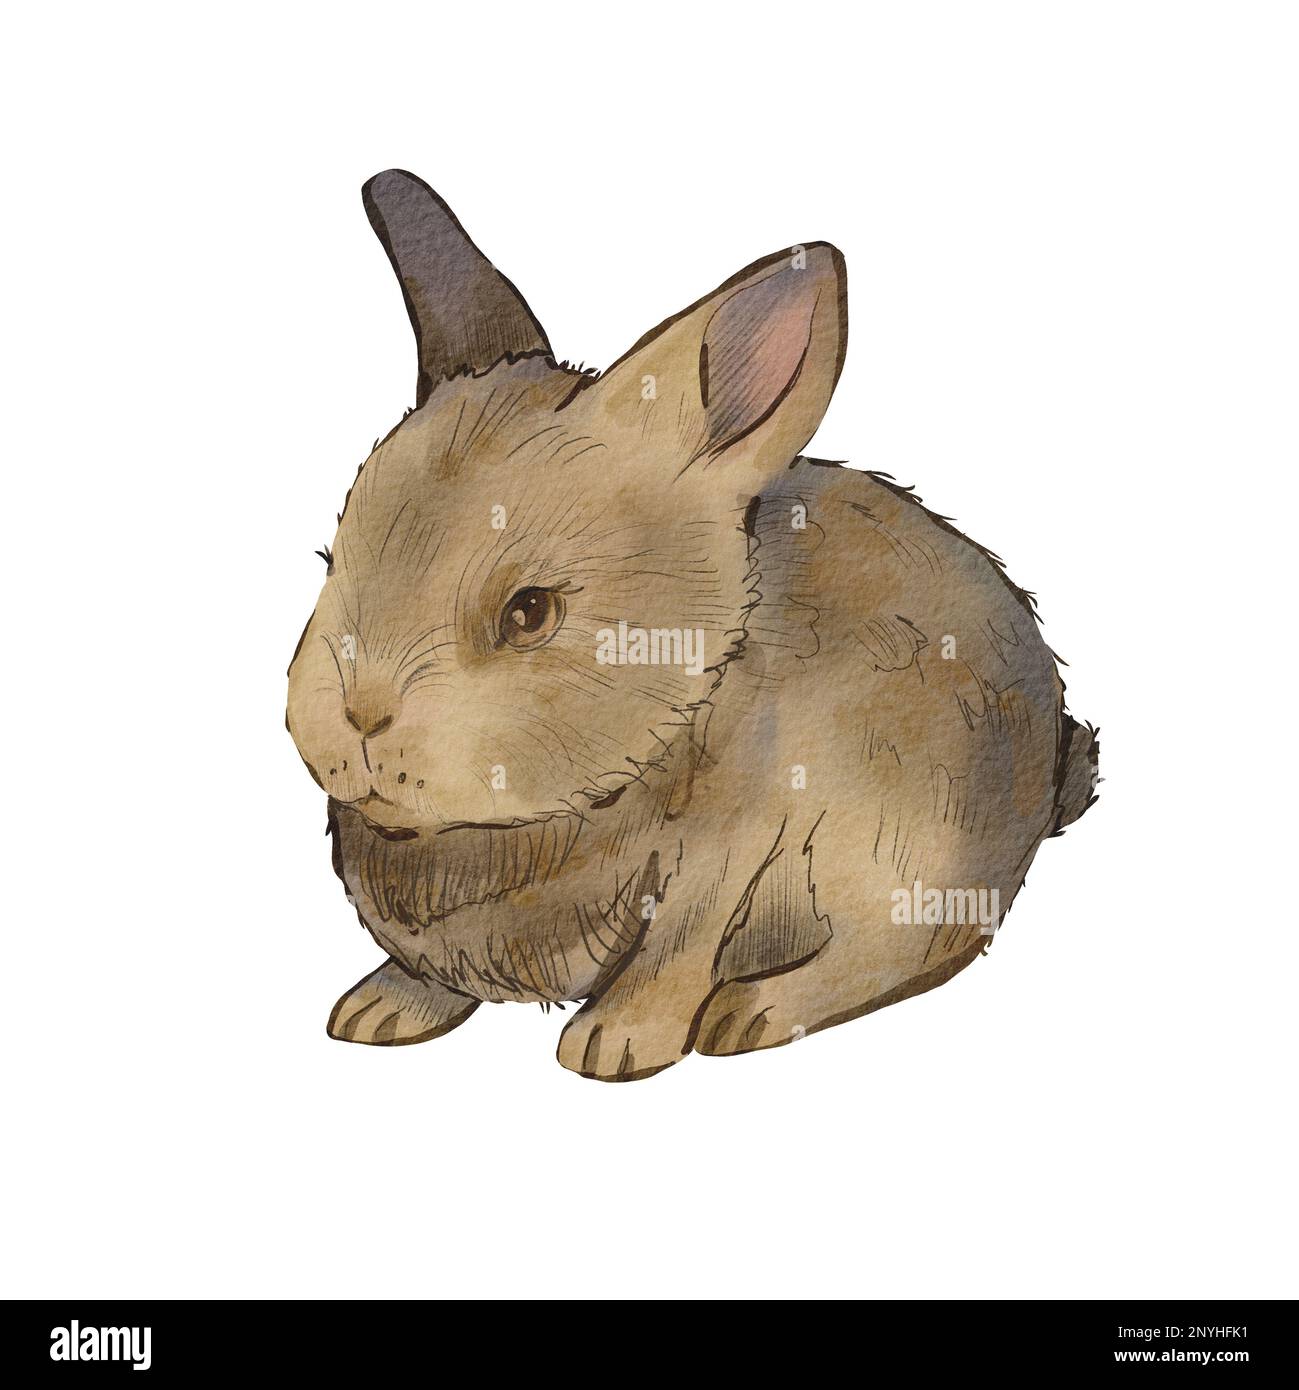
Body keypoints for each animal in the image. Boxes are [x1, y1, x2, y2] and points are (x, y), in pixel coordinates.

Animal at [286, 169, 1099, 1081]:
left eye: (529, 612)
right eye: (330, 558)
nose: (358, 717)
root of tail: (1049, 779)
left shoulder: (725, 862)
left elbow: (675, 951)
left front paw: (611, 1045)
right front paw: (377, 1011)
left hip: (903, 859)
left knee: (898, 956)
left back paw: (753, 1012)